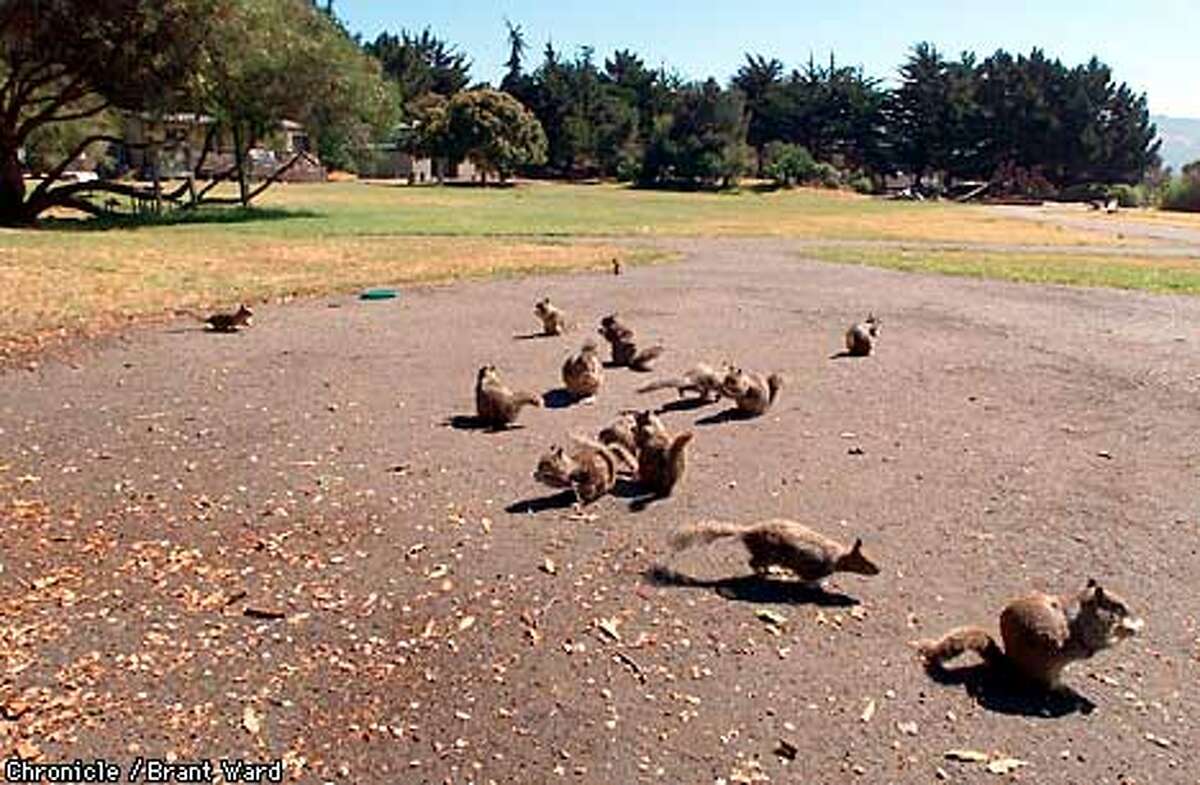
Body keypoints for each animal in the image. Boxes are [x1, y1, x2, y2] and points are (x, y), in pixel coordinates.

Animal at [670, 518, 880, 587]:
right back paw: (762, 573)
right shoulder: (813, 565)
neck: (838, 556)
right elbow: (809, 578)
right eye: (866, 563)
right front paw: (817, 584)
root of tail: (748, 531)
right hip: (765, 552)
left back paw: (768, 571)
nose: (879, 570)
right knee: (753, 563)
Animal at [915, 579, 1143, 691]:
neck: (1083, 607)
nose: (1132, 612)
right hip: (1048, 671)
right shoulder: (1091, 630)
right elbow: (1104, 641)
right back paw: (1061, 688)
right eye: (1117, 606)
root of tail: (1012, 666)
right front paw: (1131, 629)